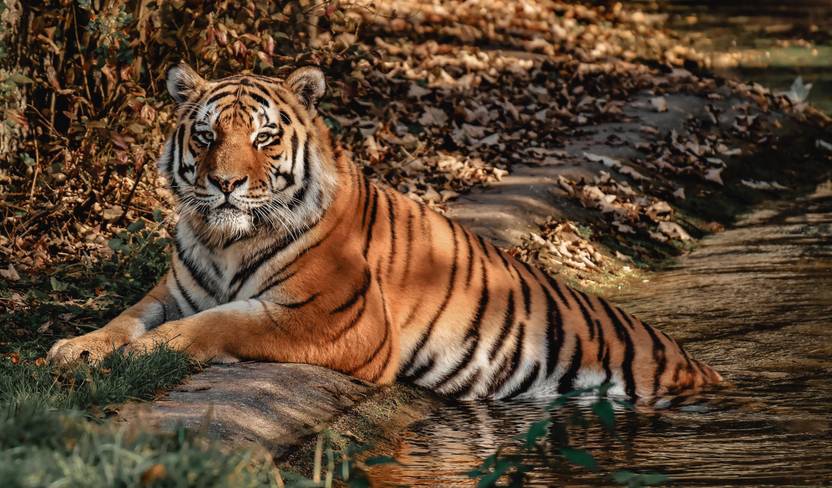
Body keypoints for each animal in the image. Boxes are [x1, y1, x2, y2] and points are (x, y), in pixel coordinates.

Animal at [47, 64, 722, 400]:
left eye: (264, 137)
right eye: (207, 135)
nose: (226, 184)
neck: (225, 240)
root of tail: (701, 367)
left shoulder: (335, 317)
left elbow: (220, 323)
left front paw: (140, 355)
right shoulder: (173, 291)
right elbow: (127, 316)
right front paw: (77, 348)